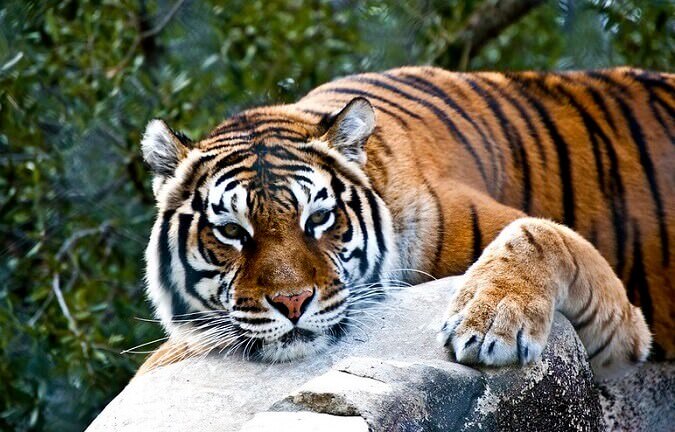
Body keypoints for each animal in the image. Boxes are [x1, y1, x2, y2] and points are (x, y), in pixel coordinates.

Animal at [137, 66, 673, 379]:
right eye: (232, 232)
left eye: (319, 218)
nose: (292, 303)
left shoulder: (625, 331)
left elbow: (537, 231)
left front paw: (491, 322)